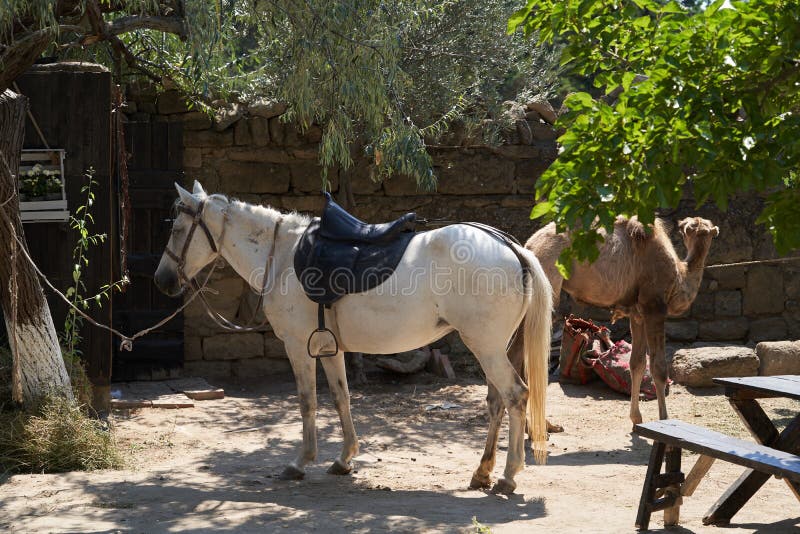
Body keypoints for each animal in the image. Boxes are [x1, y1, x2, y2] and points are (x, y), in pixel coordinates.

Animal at [154, 181, 553, 494]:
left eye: (177, 229)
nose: (162, 280)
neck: (281, 255)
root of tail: (513, 248)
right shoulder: (329, 348)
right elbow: (341, 398)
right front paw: (345, 459)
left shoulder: (298, 346)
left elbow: (307, 402)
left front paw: (300, 462)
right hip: (494, 347)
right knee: (497, 402)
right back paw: (482, 472)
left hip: (485, 347)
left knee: (516, 396)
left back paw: (508, 477)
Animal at [525, 216, 718, 425]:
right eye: (688, 229)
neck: (678, 277)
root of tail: (529, 246)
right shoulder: (654, 307)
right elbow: (658, 367)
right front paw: (664, 420)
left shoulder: (637, 314)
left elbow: (637, 363)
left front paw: (636, 419)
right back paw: (545, 425)